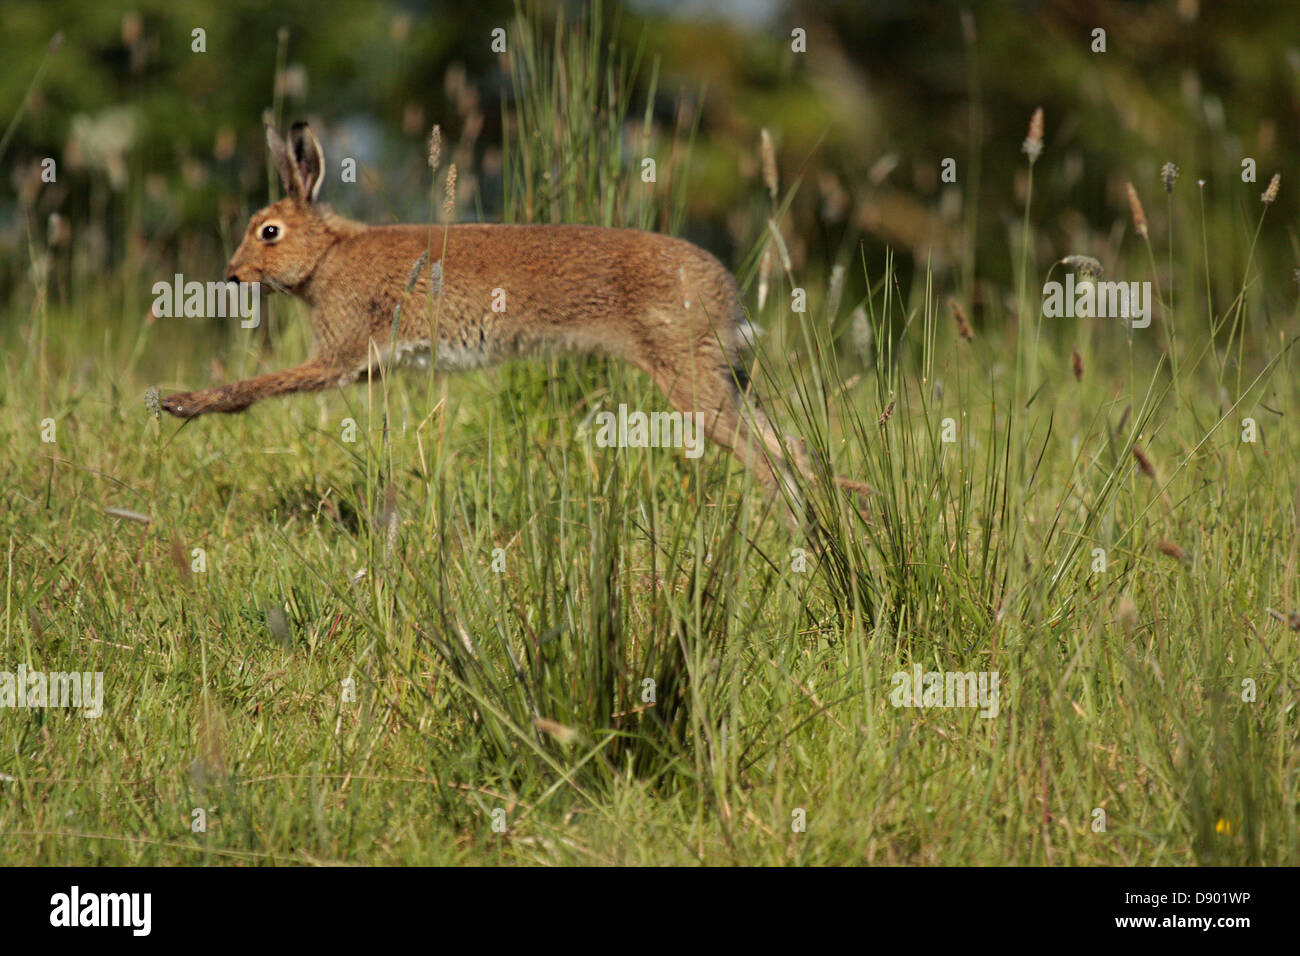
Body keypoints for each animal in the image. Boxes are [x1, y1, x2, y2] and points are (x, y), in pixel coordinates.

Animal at [161, 122, 866, 511]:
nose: (233, 275)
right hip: (723, 377)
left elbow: (263, 385)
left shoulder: (340, 353)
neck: (329, 254)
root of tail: (728, 296)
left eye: (269, 232)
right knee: (788, 444)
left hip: (687, 377)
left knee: (765, 453)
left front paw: (181, 403)